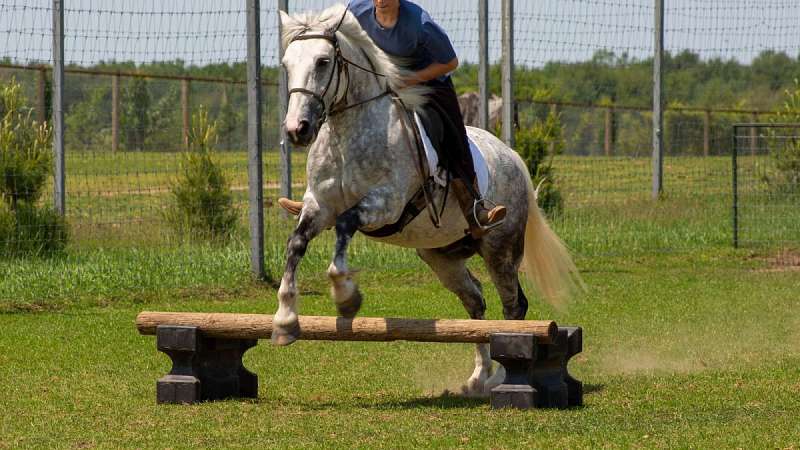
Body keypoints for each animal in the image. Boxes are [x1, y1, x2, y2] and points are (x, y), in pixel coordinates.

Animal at [275, 4, 582, 395]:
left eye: (323, 61)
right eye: (287, 64)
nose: (296, 130)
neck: (348, 133)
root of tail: (512, 156)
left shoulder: (386, 204)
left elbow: (345, 226)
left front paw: (345, 296)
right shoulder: (318, 205)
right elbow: (296, 243)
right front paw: (285, 321)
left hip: (499, 247)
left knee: (513, 306)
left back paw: (502, 376)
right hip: (441, 256)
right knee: (475, 301)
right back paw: (478, 377)